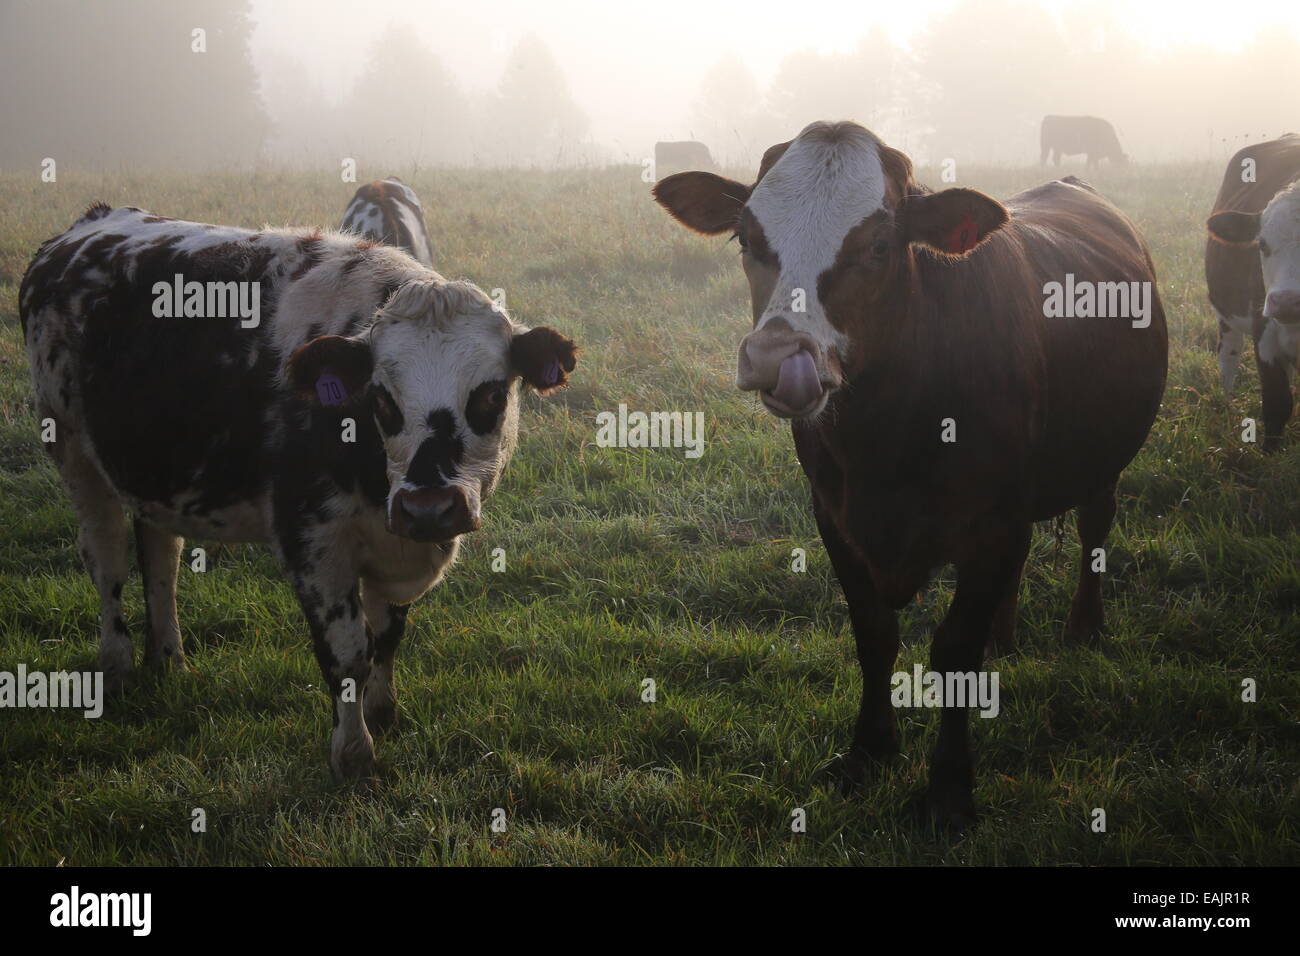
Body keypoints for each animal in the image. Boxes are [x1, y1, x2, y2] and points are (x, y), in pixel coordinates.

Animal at [20, 203, 577, 780]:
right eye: (381, 398)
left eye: (490, 395)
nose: (428, 509)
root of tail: (91, 225)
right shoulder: (312, 542)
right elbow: (348, 652)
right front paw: (353, 754)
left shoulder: (395, 539)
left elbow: (387, 635)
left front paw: (383, 711)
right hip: (75, 456)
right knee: (107, 562)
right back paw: (118, 667)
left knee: (161, 563)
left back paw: (170, 661)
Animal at [653, 120, 1167, 830]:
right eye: (747, 238)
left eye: (877, 245)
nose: (777, 355)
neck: (886, 433)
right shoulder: (835, 517)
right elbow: (875, 635)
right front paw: (869, 751)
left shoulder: (992, 524)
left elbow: (954, 651)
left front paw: (948, 788)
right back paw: (1006, 638)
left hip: (1102, 463)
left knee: (1095, 528)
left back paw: (1084, 626)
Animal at [1204, 134, 1300, 451]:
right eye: (1262, 245)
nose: (1287, 303)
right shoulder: (1265, 335)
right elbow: (1277, 404)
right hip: (1226, 317)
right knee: (1228, 356)